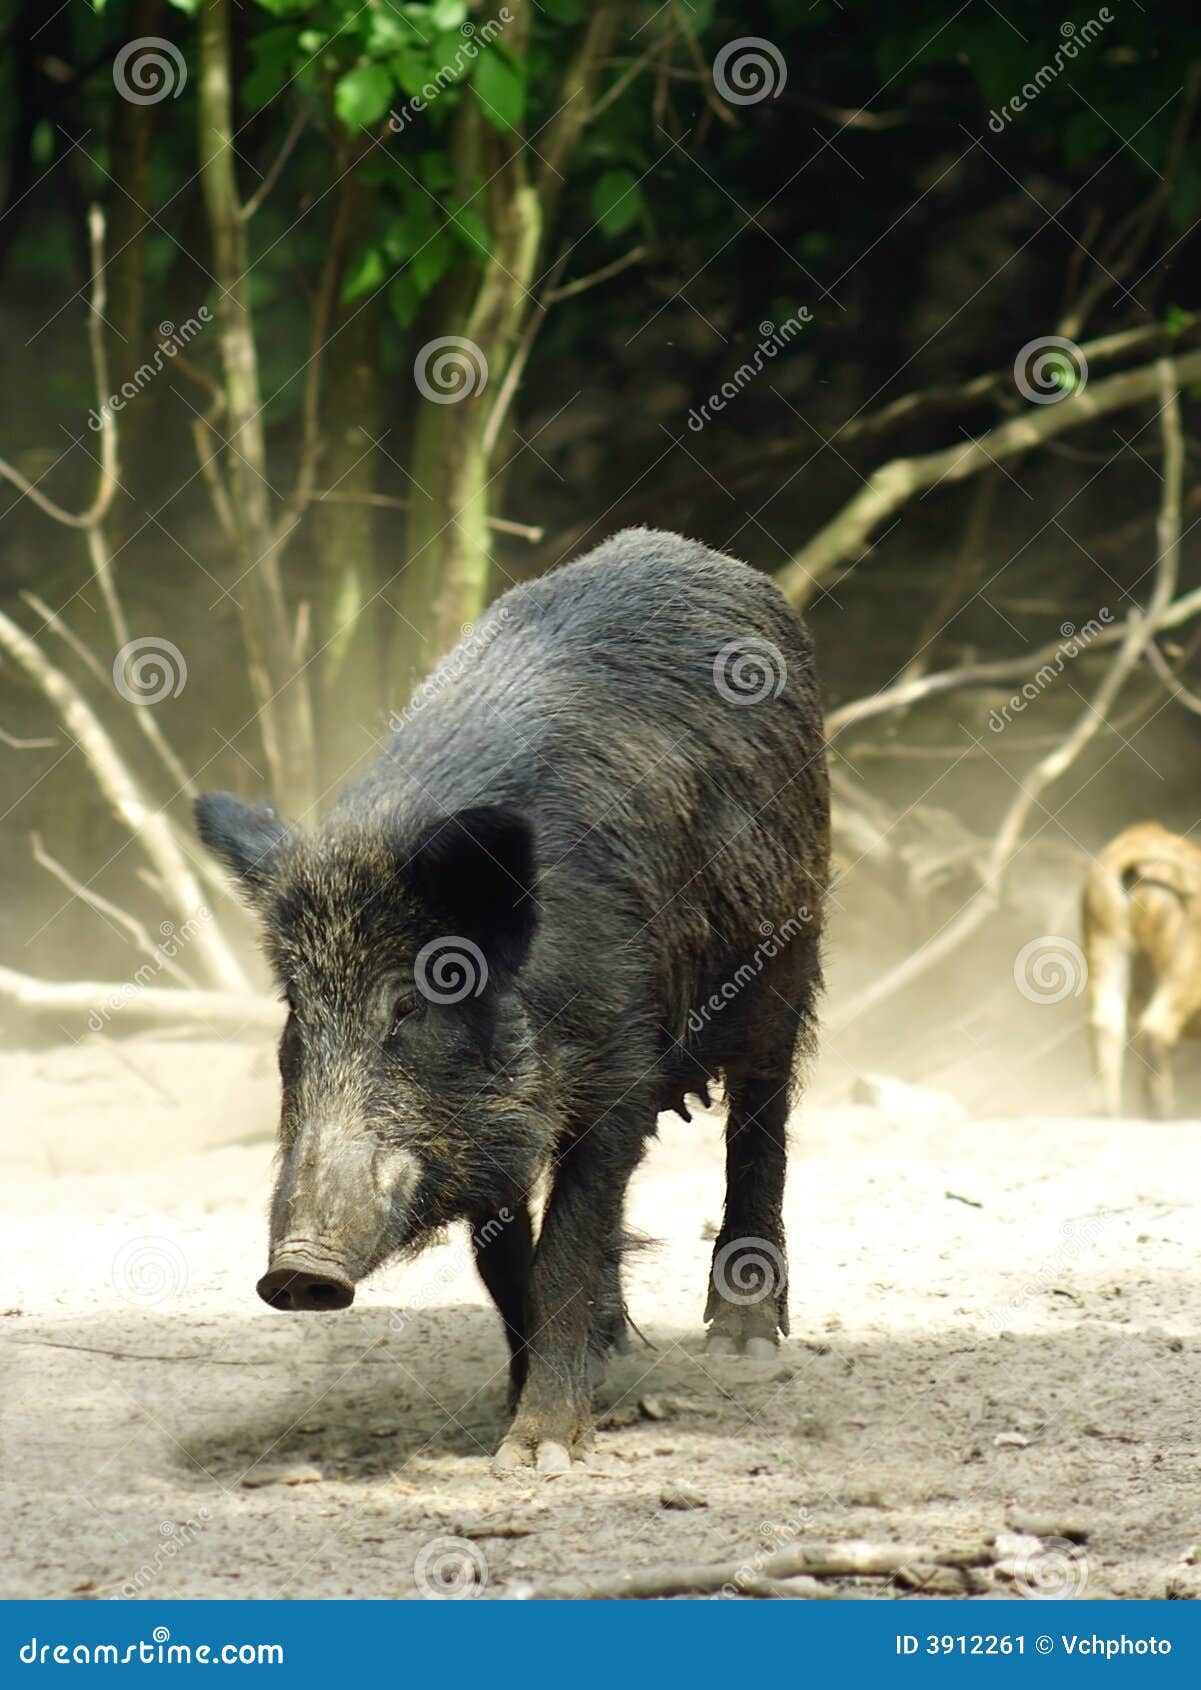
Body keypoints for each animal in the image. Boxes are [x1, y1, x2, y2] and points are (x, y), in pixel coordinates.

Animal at [195, 527, 829, 1474]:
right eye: (296, 1010)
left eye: (408, 1005)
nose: (298, 1272)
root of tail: (704, 557)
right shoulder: (481, 1131)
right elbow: (506, 1266)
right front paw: (531, 1404)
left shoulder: (617, 1073)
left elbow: (565, 1244)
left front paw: (538, 1454)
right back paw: (614, 1346)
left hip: (788, 947)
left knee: (762, 1116)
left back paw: (743, 1345)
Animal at [1083, 820, 1201, 1117]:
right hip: (1186, 973)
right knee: (1157, 1028)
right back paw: (1162, 1115)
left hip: (1107, 947)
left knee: (1107, 1024)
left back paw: (1109, 1112)